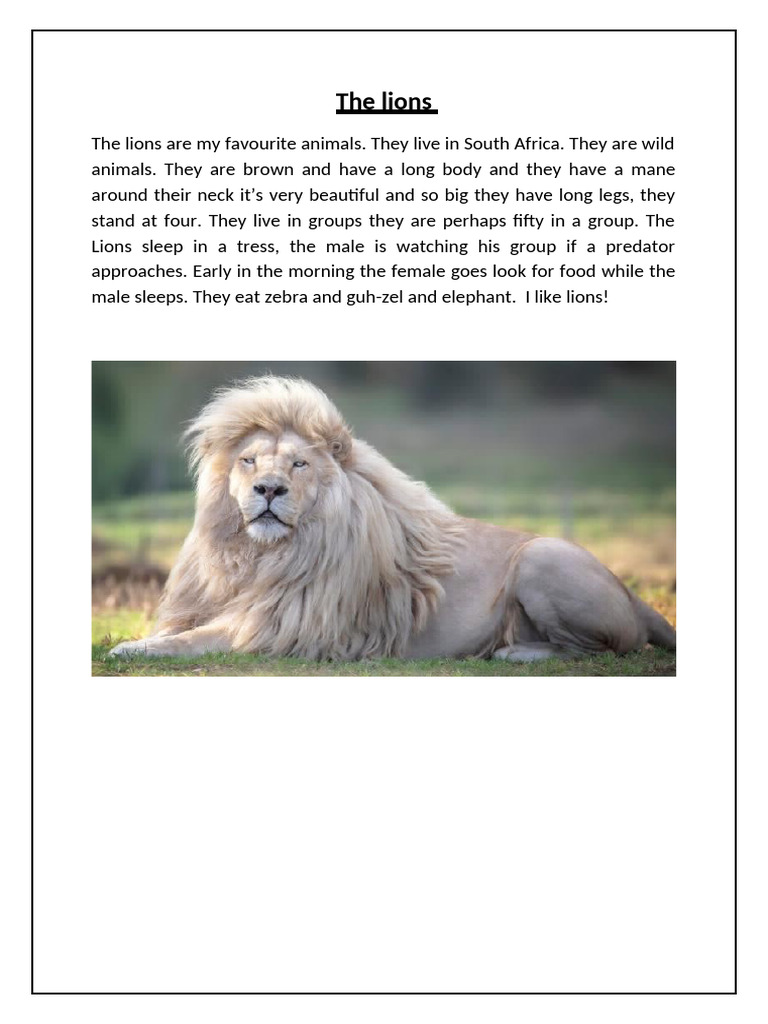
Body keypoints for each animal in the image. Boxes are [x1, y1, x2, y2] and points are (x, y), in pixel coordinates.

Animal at [109, 376, 676, 663]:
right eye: (248, 461)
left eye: (299, 464)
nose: (268, 489)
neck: (257, 555)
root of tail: (633, 595)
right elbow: (180, 631)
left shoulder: (281, 627)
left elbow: (188, 642)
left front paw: (128, 648)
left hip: (543, 555)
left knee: (599, 650)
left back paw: (513, 653)